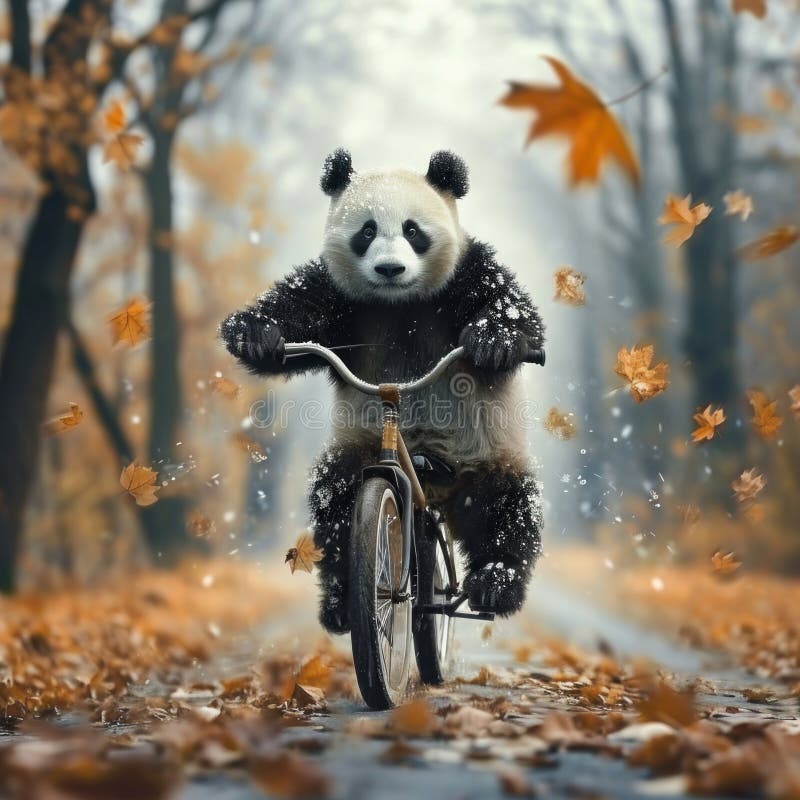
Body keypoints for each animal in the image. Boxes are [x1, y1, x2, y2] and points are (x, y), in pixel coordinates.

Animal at [221, 149, 544, 634]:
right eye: (367, 231)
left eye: (413, 230)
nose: (390, 268)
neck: (400, 304)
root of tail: (440, 487)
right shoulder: (343, 300)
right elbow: (297, 309)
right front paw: (253, 332)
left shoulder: (465, 272)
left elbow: (514, 309)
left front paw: (495, 339)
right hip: (362, 449)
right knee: (336, 501)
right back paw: (340, 603)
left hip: (487, 452)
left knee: (507, 508)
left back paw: (495, 582)